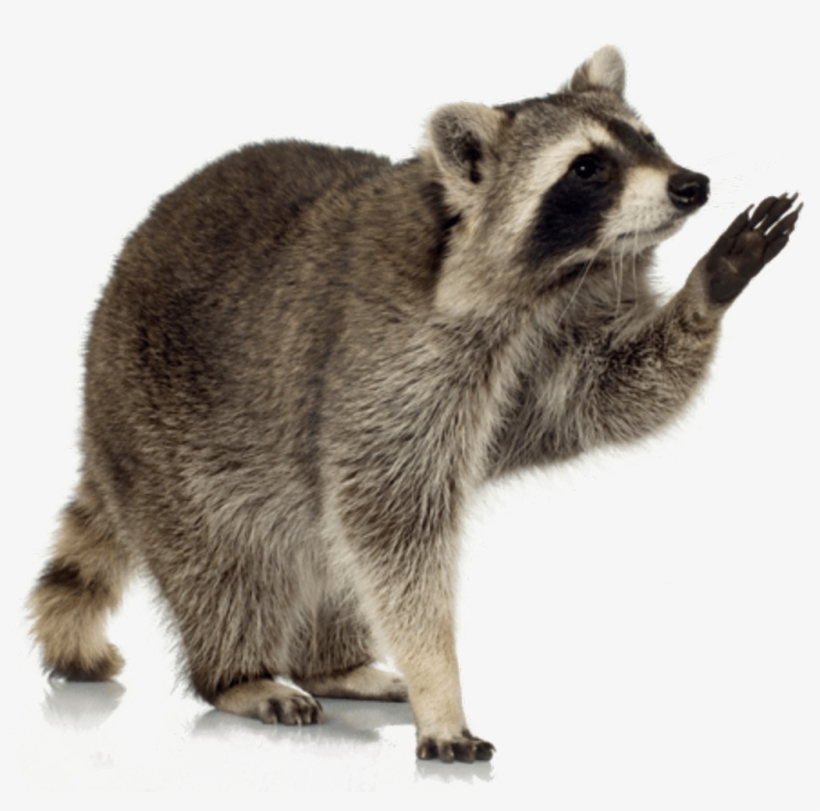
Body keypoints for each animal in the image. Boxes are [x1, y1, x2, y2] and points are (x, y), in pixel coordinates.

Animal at [29, 46, 800, 763]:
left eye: (647, 138)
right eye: (587, 169)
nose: (691, 185)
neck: (551, 282)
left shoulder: (551, 344)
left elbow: (609, 396)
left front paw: (707, 289)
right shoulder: (388, 356)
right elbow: (392, 522)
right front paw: (441, 686)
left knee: (325, 551)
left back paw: (331, 663)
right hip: (162, 433)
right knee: (226, 562)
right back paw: (238, 673)